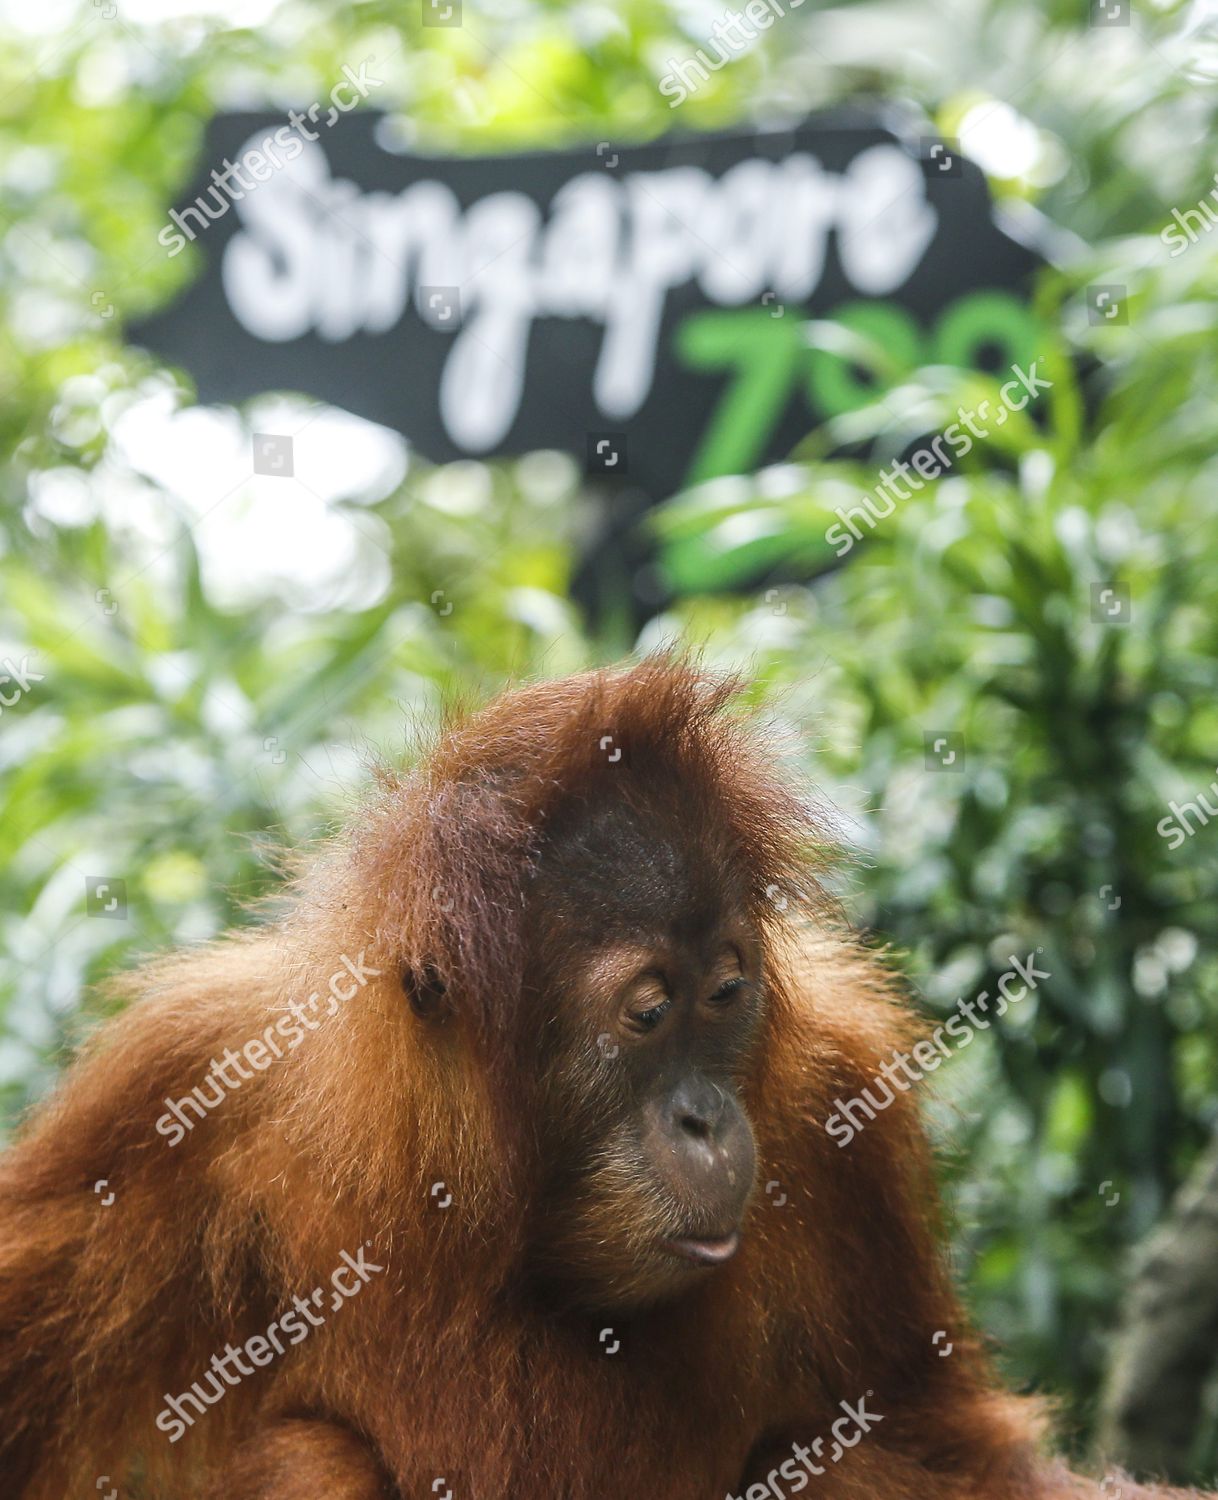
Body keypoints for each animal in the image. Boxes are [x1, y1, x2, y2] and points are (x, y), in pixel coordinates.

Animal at [0, 656, 1207, 1499]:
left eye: (727, 993)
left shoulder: (844, 1093)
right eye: (648, 1012)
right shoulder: (177, 1090)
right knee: (313, 1454)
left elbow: (941, 1442)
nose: (706, 1119)